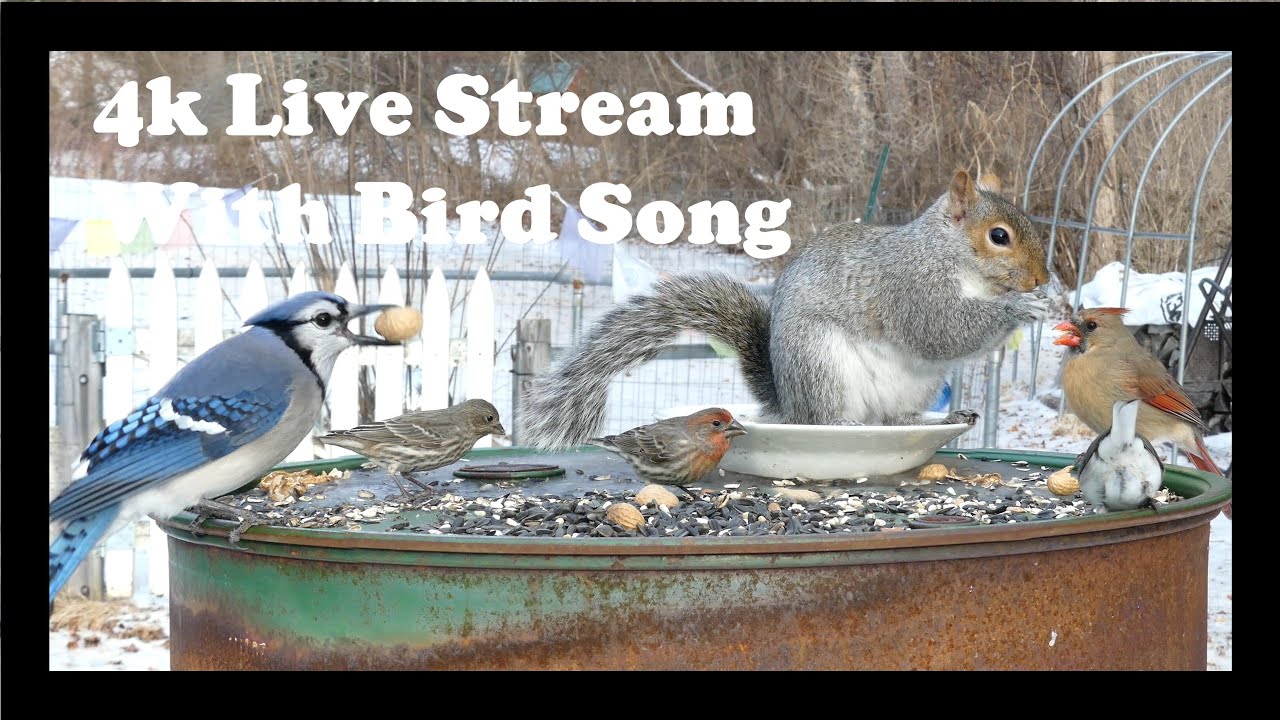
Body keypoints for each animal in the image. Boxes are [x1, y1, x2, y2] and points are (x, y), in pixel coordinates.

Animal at [522, 170, 1052, 450]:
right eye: (999, 236)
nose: (1042, 279)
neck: (953, 259)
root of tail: (788, 403)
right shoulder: (910, 287)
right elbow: (943, 330)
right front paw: (1021, 306)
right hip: (822, 363)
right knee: (826, 419)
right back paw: (843, 426)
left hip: (913, 388)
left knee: (896, 420)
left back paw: (937, 421)